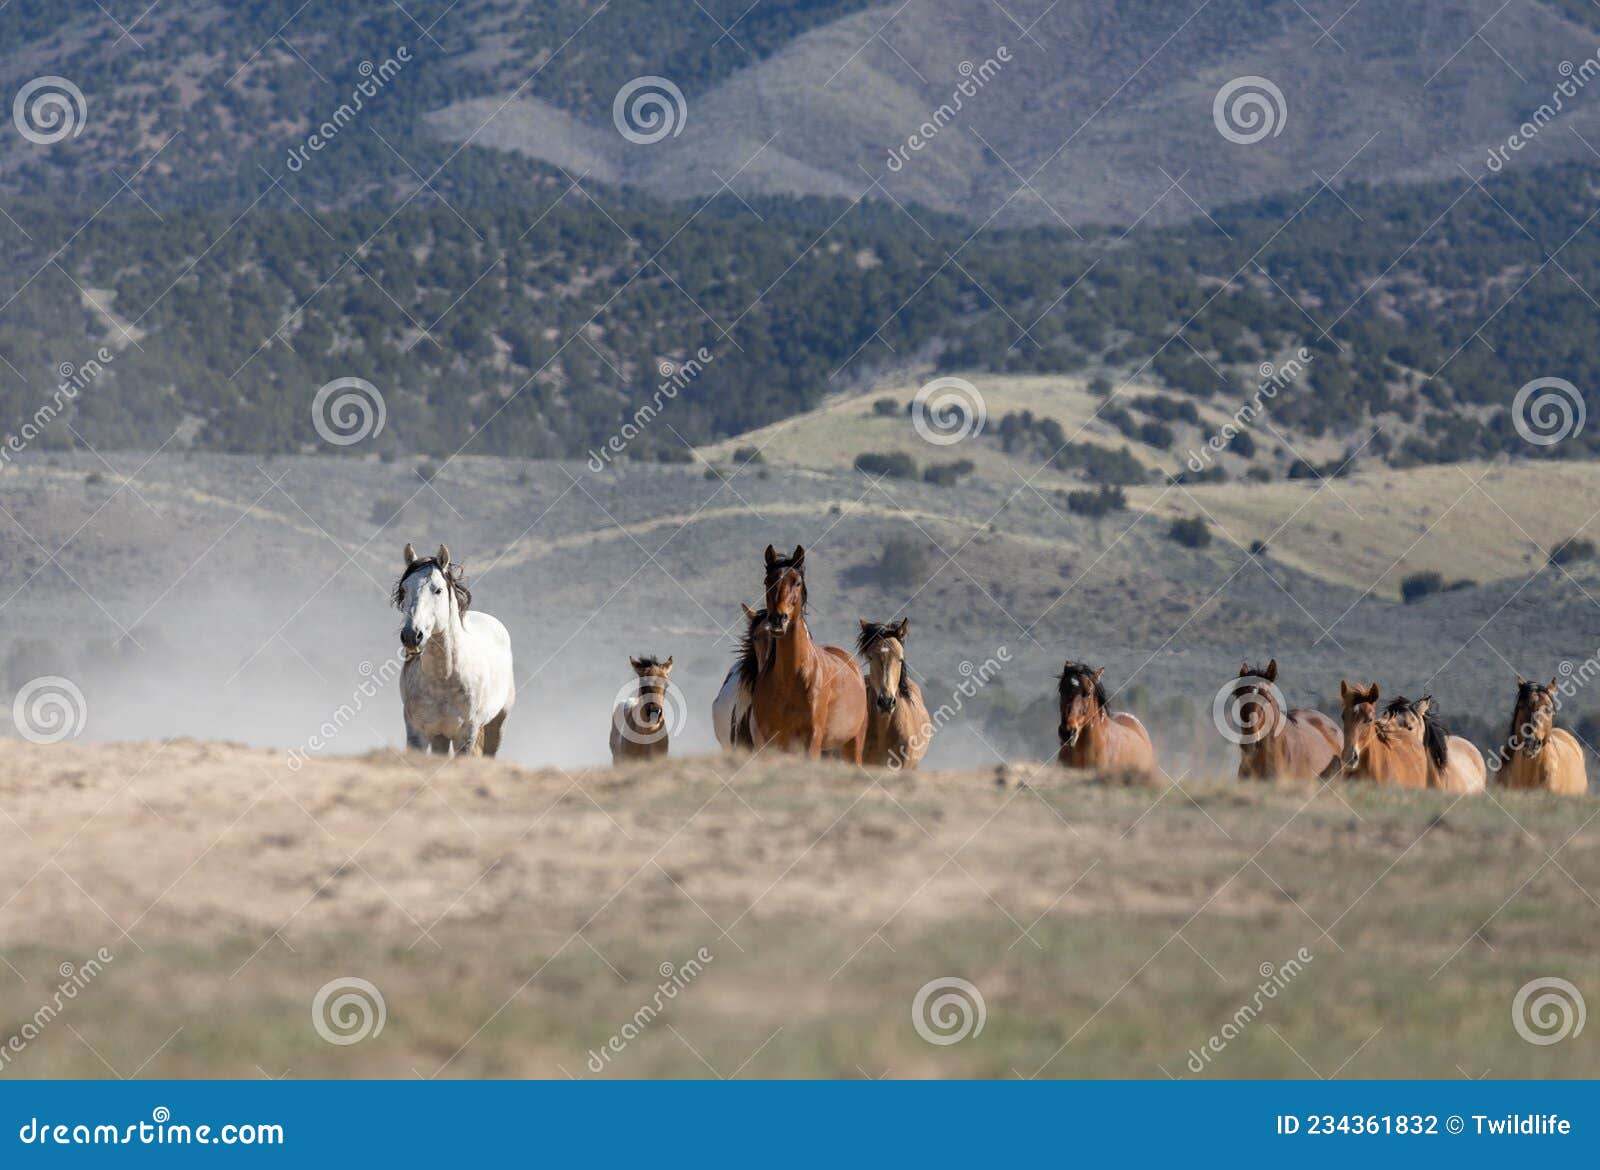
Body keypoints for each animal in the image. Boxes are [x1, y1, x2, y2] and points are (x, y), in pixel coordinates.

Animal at [394, 543, 514, 757]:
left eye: (438, 590)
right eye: (404, 589)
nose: (411, 635)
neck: (445, 678)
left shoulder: (466, 737)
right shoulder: (417, 733)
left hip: (498, 723)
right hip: (440, 737)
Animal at [750, 545, 868, 761]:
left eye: (797, 582)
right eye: (767, 581)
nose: (778, 619)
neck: (790, 679)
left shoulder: (812, 739)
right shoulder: (770, 741)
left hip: (852, 744)